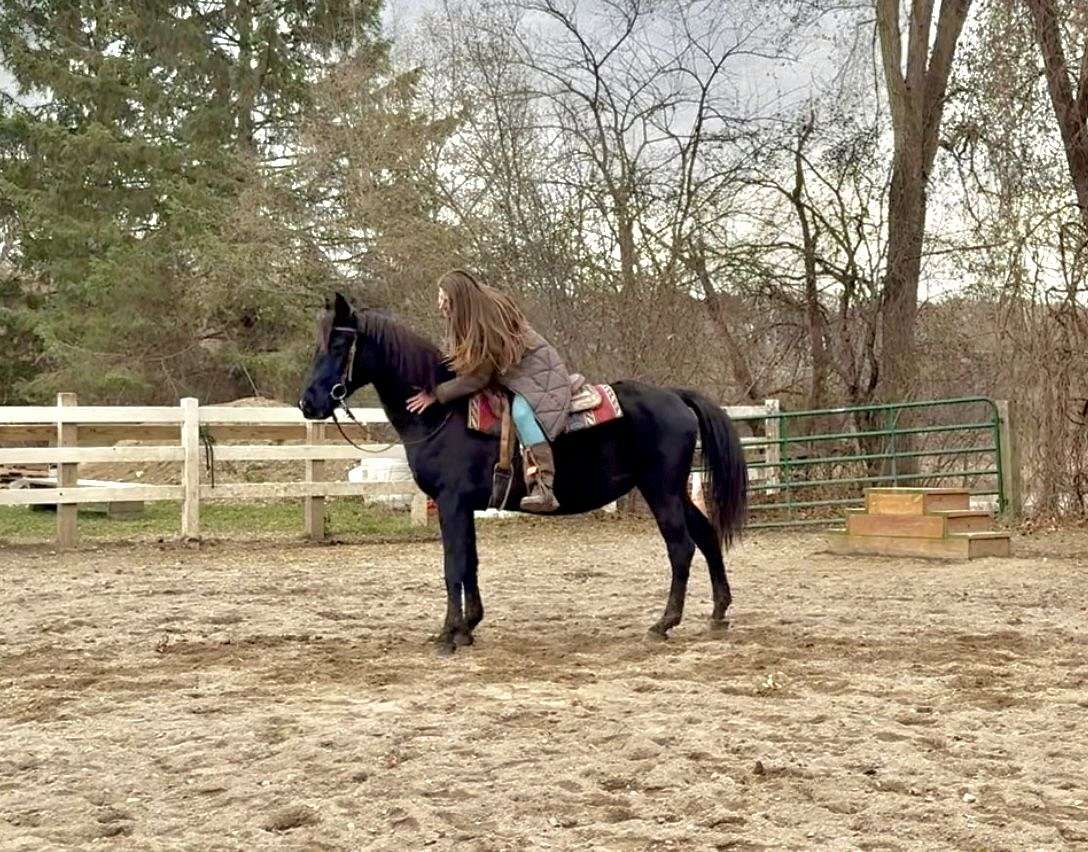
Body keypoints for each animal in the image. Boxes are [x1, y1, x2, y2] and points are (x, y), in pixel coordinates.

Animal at [299, 294, 748, 654]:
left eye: (338, 344)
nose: (308, 403)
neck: (444, 414)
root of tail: (675, 396)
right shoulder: (464, 506)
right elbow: (471, 562)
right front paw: (469, 627)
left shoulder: (450, 501)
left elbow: (453, 564)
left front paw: (448, 634)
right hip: (673, 490)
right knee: (706, 535)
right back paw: (718, 613)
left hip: (661, 490)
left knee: (681, 547)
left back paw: (664, 623)